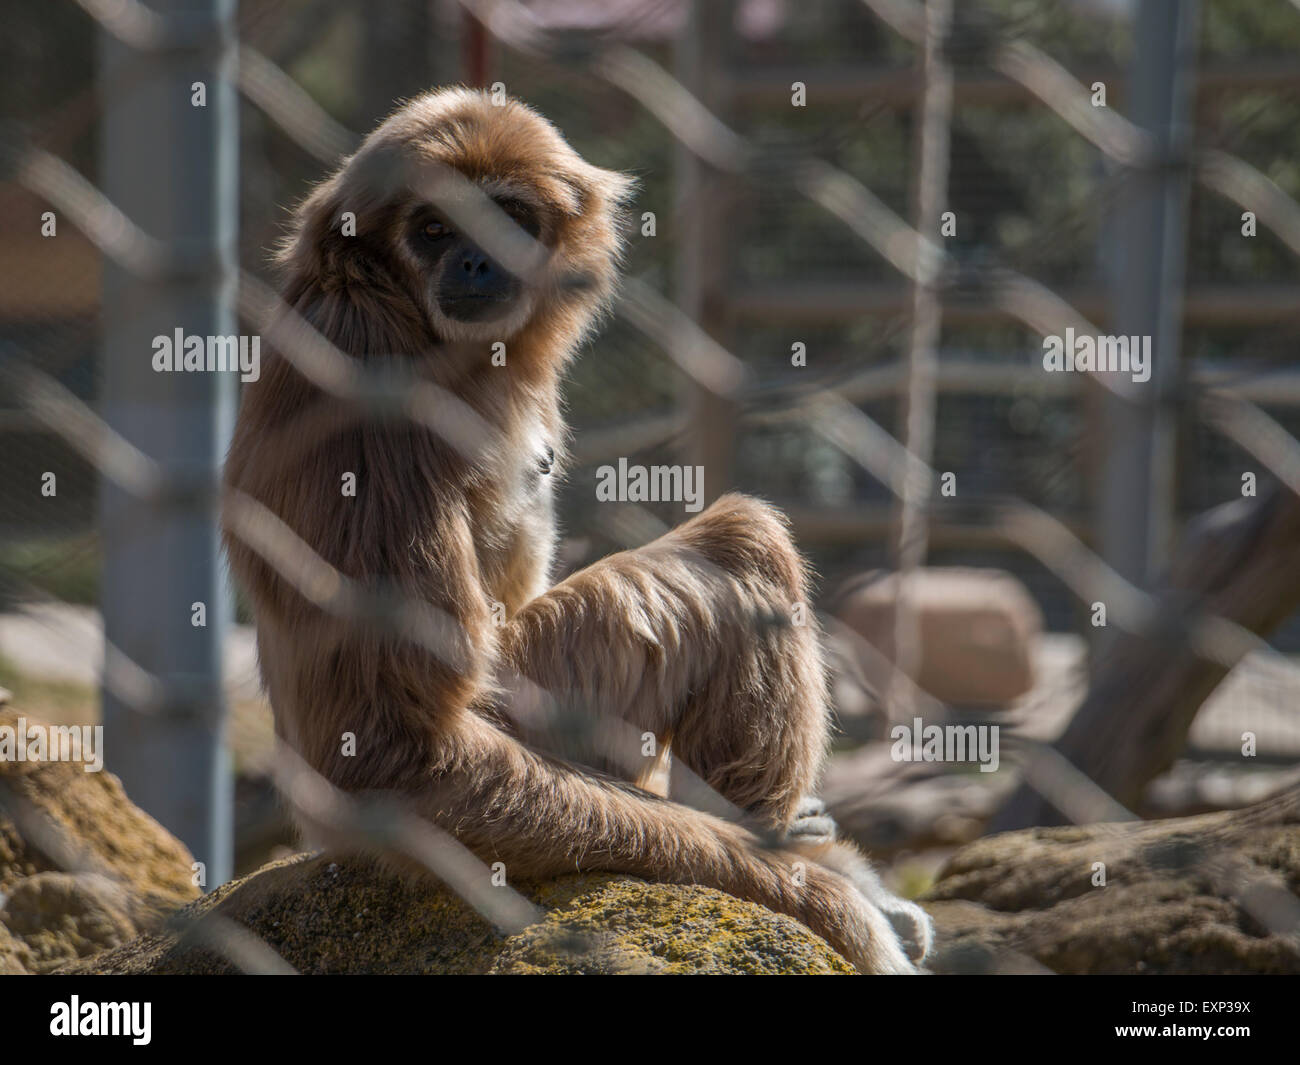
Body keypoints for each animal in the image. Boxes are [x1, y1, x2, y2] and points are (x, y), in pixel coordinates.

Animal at [222, 87, 930, 973]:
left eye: (508, 218)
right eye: (433, 229)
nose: (473, 262)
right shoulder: (362, 366)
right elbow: (394, 747)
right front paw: (823, 893)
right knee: (741, 544)